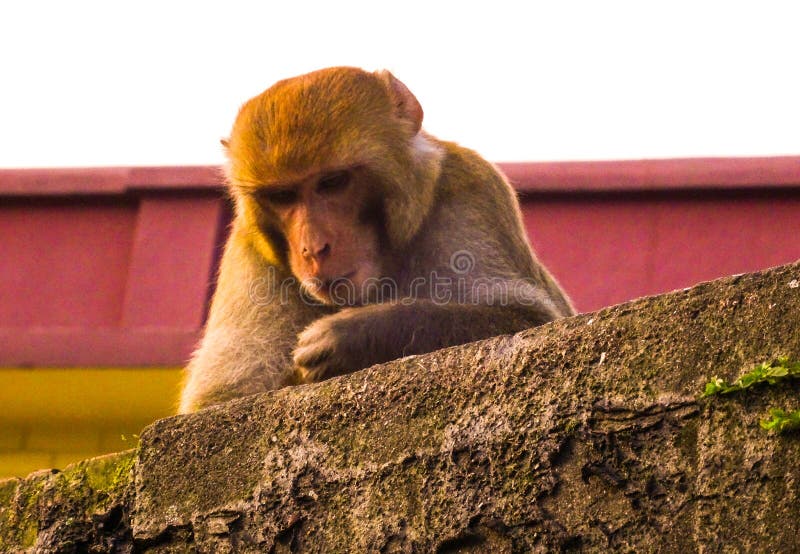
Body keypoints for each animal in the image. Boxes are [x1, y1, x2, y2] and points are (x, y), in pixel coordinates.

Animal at [178, 67, 574, 413]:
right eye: (282, 196)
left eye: (332, 182)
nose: (313, 249)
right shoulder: (251, 251)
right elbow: (222, 398)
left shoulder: (471, 191)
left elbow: (528, 315)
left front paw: (355, 334)